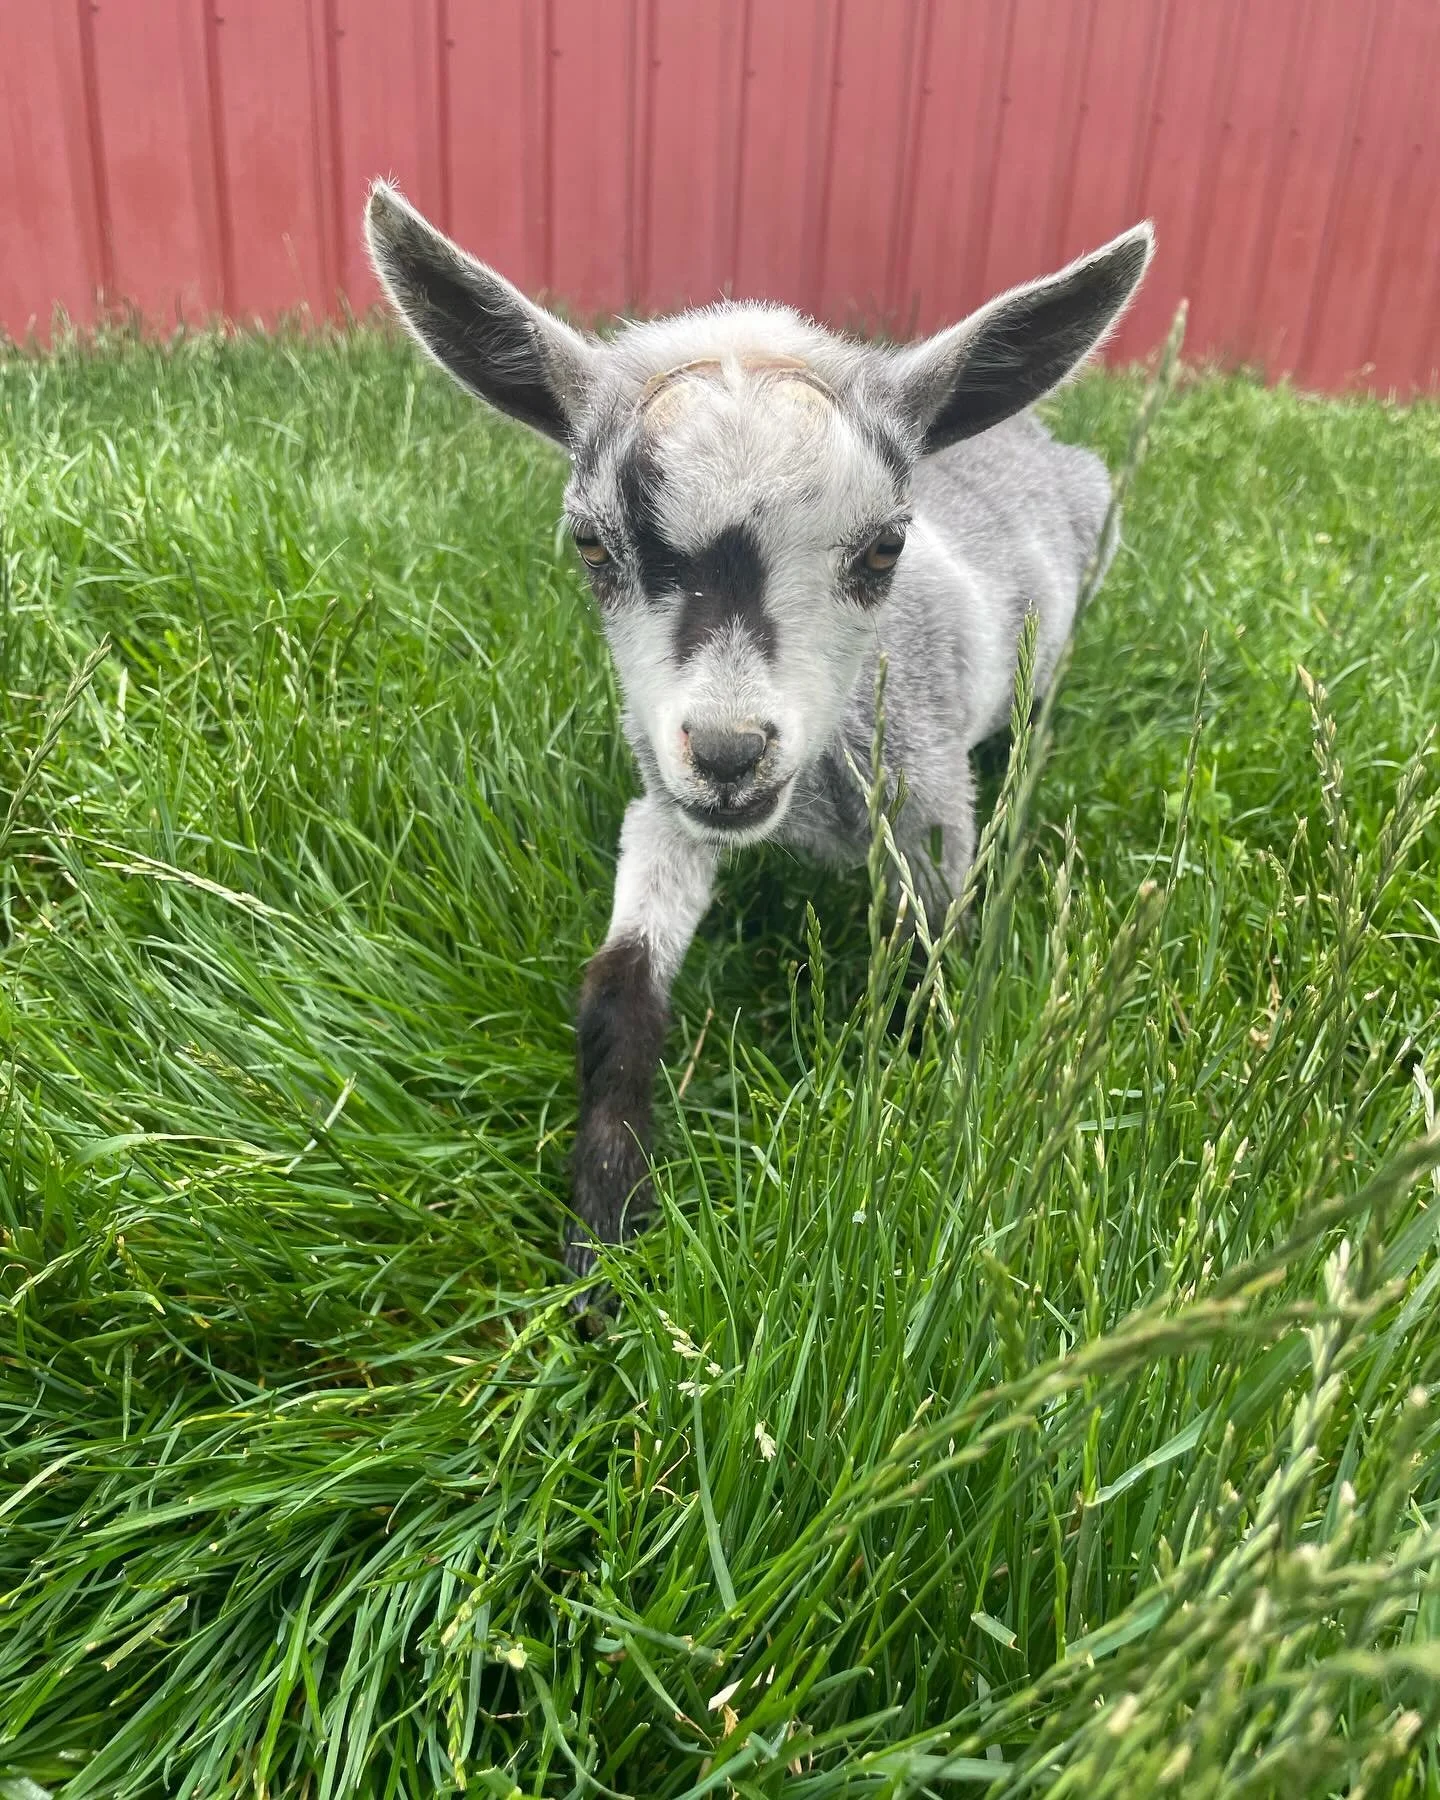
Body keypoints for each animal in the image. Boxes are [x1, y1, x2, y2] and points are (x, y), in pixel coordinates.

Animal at [363, 181, 1153, 1284]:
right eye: (591, 543)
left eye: (884, 547)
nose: (732, 752)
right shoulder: (668, 809)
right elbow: (618, 990)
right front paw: (602, 1243)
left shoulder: (931, 811)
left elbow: (926, 967)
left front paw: (907, 1135)